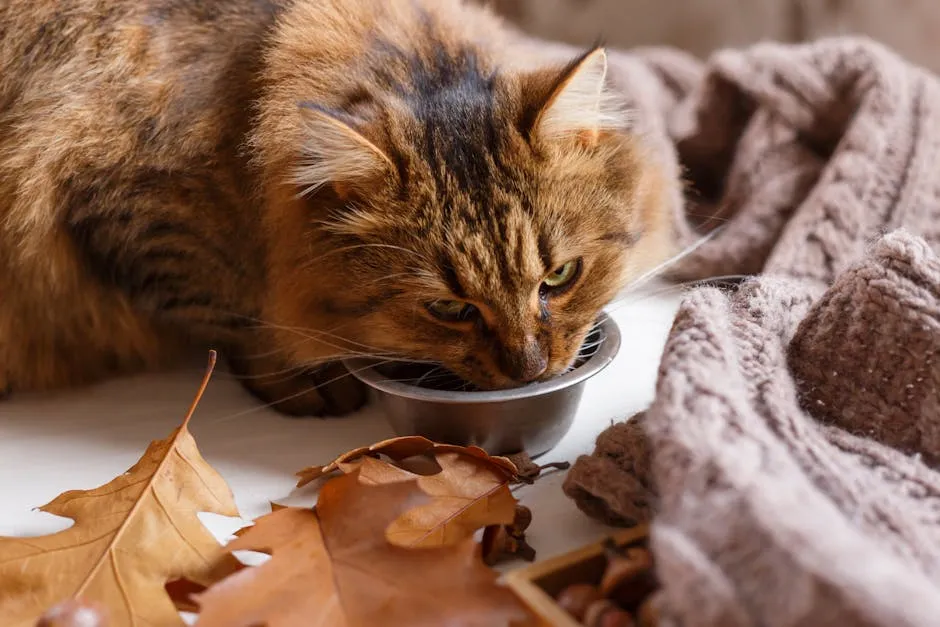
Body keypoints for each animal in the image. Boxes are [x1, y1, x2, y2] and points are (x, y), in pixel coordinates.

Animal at [0, 2, 676, 420]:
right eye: (448, 309)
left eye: (559, 276)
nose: (531, 370)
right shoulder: (134, 216)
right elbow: (235, 315)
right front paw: (302, 379)